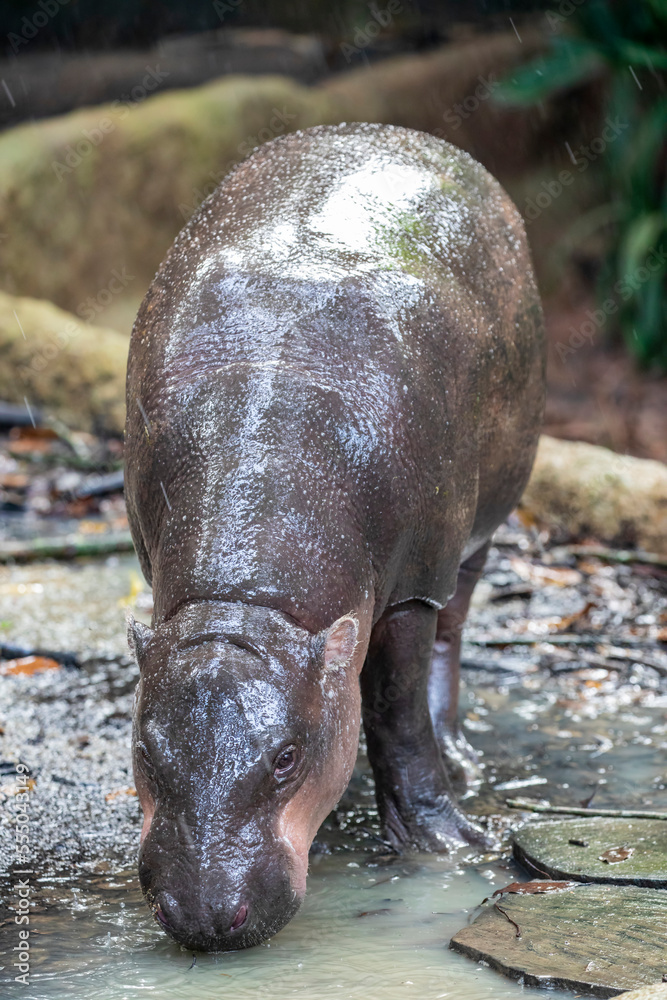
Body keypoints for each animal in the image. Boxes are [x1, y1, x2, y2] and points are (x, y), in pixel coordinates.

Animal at [125, 122, 545, 952]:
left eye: (286, 758)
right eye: (144, 751)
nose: (204, 917)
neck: (247, 600)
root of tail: (395, 132)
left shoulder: (414, 580)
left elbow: (395, 714)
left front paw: (450, 845)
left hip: (473, 536)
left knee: (451, 635)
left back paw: (459, 756)